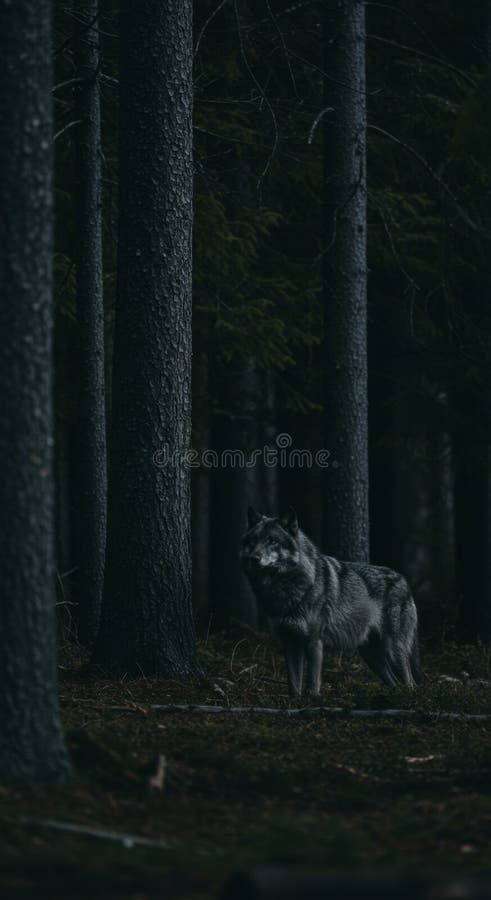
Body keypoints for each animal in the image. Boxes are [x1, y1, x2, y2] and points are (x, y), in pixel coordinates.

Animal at [241, 507, 422, 696]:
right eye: (253, 540)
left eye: (272, 541)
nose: (253, 558)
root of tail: (404, 580)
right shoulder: (290, 643)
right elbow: (294, 685)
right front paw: (295, 701)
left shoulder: (314, 642)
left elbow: (312, 683)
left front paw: (312, 700)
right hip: (372, 657)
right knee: (395, 682)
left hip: (394, 650)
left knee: (410, 681)